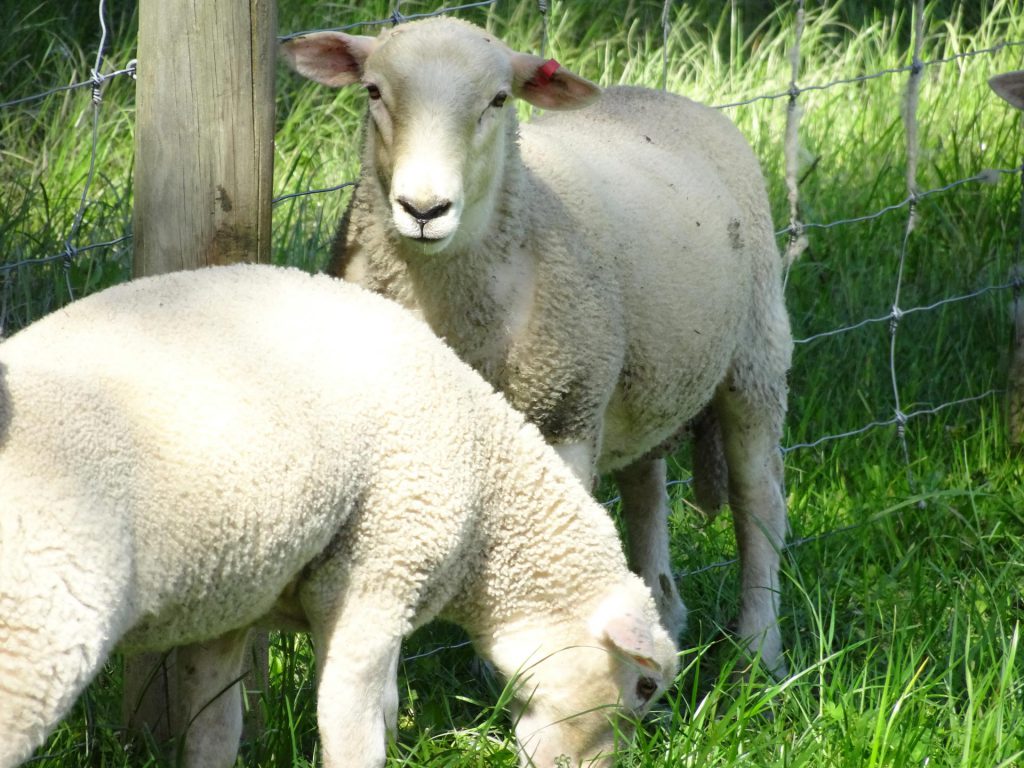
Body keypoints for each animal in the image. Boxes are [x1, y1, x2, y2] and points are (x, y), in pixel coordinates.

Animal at [0, 264, 679, 768]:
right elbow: (355, 732)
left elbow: (215, 728)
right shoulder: (376, 579)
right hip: (37, 624)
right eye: (644, 687)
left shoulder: (230, 606)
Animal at [281, 16, 793, 674]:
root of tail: (664, 96)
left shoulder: (565, 412)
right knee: (646, 489)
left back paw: (759, 650)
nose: (424, 209)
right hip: (642, 372)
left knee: (758, 499)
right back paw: (665, 616)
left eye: (499, 100)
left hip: (755, 352)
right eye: (373, 91)